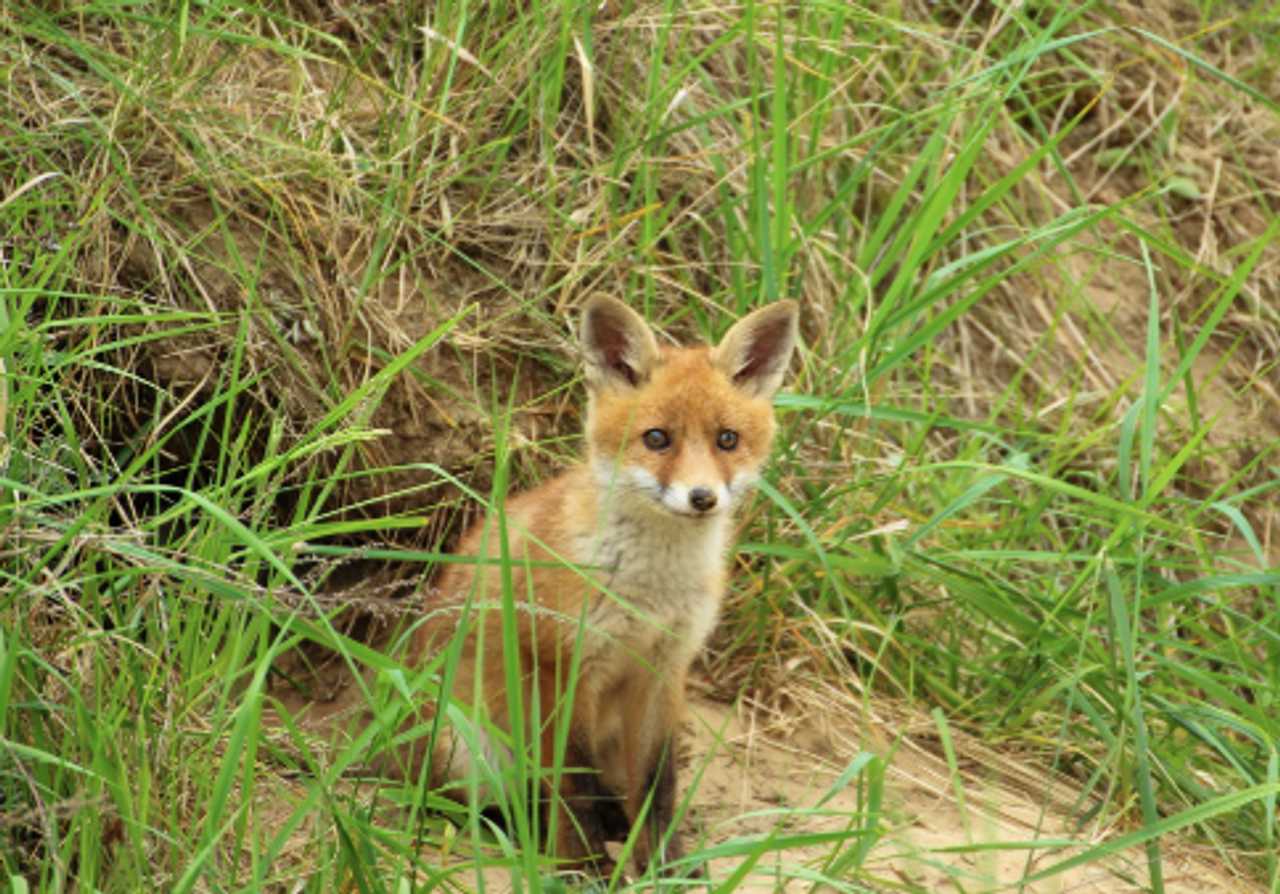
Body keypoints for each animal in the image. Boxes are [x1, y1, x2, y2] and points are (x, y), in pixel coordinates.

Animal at [401, 295, 799, 876]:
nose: (702, 497)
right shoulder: (560, 664)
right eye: (657, 439)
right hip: (469, 749)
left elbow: (657, 786)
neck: (651, 589)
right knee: (501, 803)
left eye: (727, 440)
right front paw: (583, 868)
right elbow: (573, 782)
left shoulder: (664, 668)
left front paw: (664, 867)